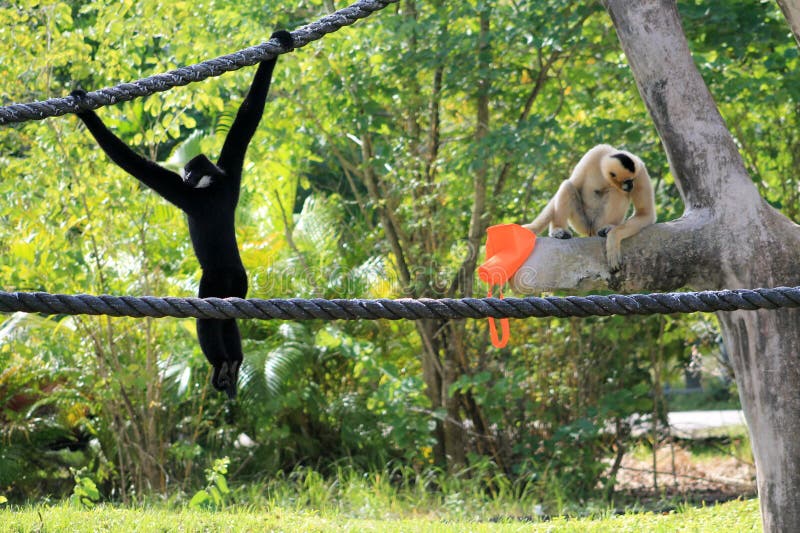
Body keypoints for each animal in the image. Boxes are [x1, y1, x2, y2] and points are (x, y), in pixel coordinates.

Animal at [71, 30, 294, 399]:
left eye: (189, 172)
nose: (188, 174)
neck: (212, 184)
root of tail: (231, 271)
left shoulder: (188, 194)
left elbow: (137, 165)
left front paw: (86, 112)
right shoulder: (230, 173)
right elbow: (248, 117)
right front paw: (277, 44)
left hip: (216, 283)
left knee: (207, 319)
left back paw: (221, 366)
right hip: (239, 286)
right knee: (227, 320)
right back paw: (233, 365)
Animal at [523, 144, 656, 270]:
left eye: (632, 180)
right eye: (627, 181)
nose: (631, 185)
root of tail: (591, 231)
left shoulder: (640, 172)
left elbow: (645, 213)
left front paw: (613, 239)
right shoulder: (593, 155)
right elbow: (574, 184)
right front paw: (532, 228)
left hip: (597, 223)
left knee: (617, 192)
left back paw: (608, 227)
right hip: (583, 224)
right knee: (567, 185)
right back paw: (558, 230)